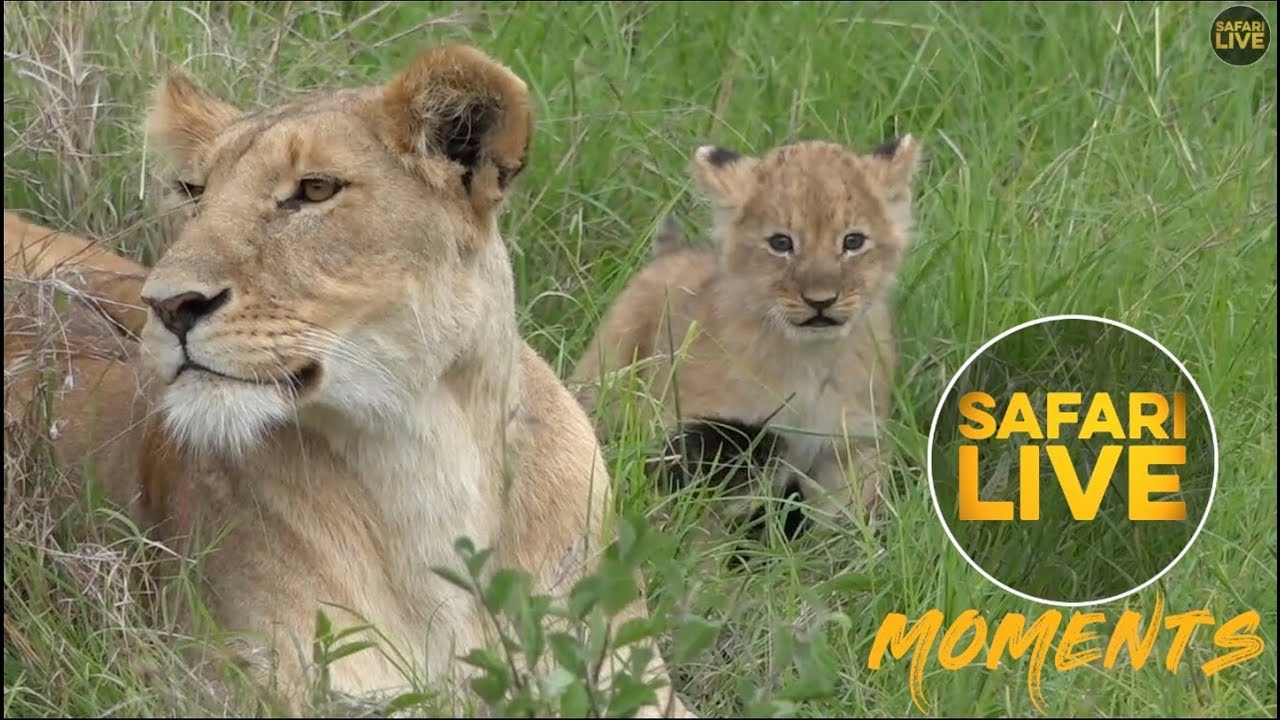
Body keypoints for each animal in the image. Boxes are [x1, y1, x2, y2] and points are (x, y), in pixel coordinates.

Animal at [3, 44, 694, 718]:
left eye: (314, 190)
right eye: (195, 192)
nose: (170, 305)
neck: (425, 456)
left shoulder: (631, 678)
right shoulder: (232, 683)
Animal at [569, 136, 923, 556]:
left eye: (853, 241)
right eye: (781, 242)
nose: (820, 301)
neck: (808, 359)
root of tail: (671, 253)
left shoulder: (850, 444)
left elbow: (842, 520)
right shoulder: (713, 439)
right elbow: (698, 524)